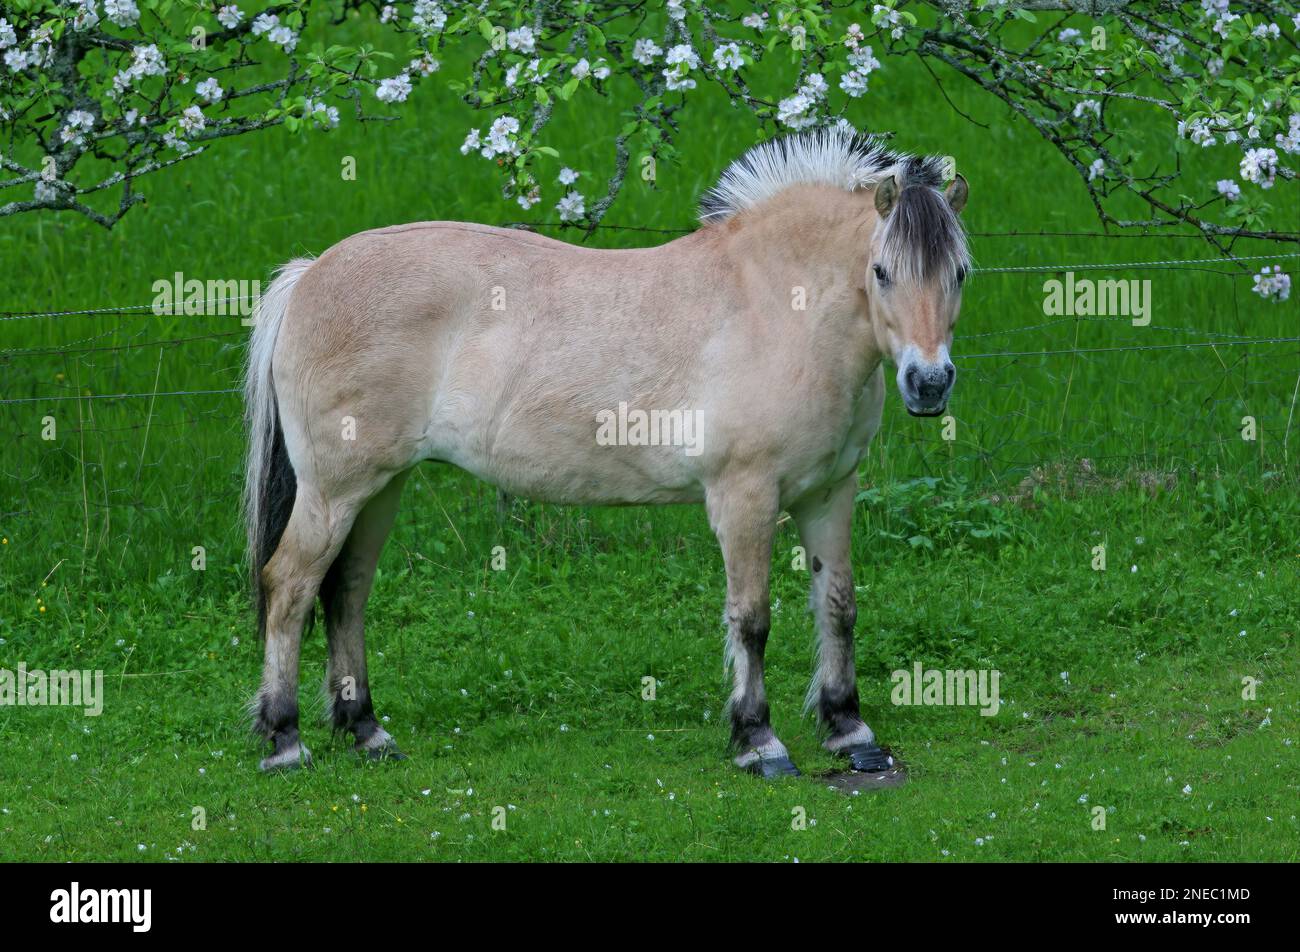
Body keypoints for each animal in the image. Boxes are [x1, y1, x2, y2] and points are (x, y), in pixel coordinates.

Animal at [244, 126, 971, 777]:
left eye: (960, 273)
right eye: (881, 271)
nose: (929, 383)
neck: (774, 306)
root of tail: (309, 276)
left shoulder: (829, 492)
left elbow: (839, 605)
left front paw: (850, 732)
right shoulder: (745, 497)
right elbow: (752, 619)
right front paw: (758, 741)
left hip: (380, 489)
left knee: (346, 591)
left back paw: (367, 732)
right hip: (335, 491)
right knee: (290, 587)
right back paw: (286, 742)